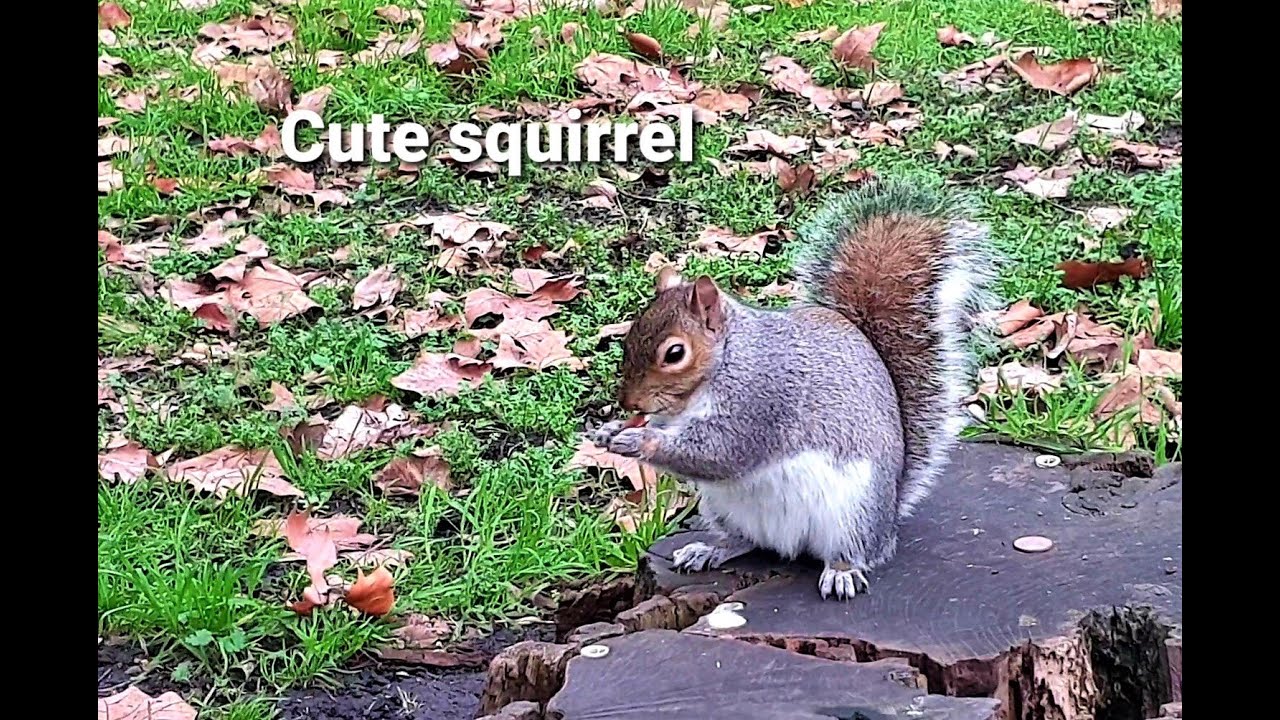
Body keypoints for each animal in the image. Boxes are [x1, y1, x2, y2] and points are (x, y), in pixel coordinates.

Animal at [590, 179, 999, 600]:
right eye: (630, 336)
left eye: (675, 353)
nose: (627, 401)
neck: (723, 364)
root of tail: (888, 519)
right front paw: (609, 431)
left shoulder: (761, 399)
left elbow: (718, 452)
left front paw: (638, 441)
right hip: (723, 508)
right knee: (745, 540)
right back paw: (709, 550)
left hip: (853, 511)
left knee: (853, 549)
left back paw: (841, 571)